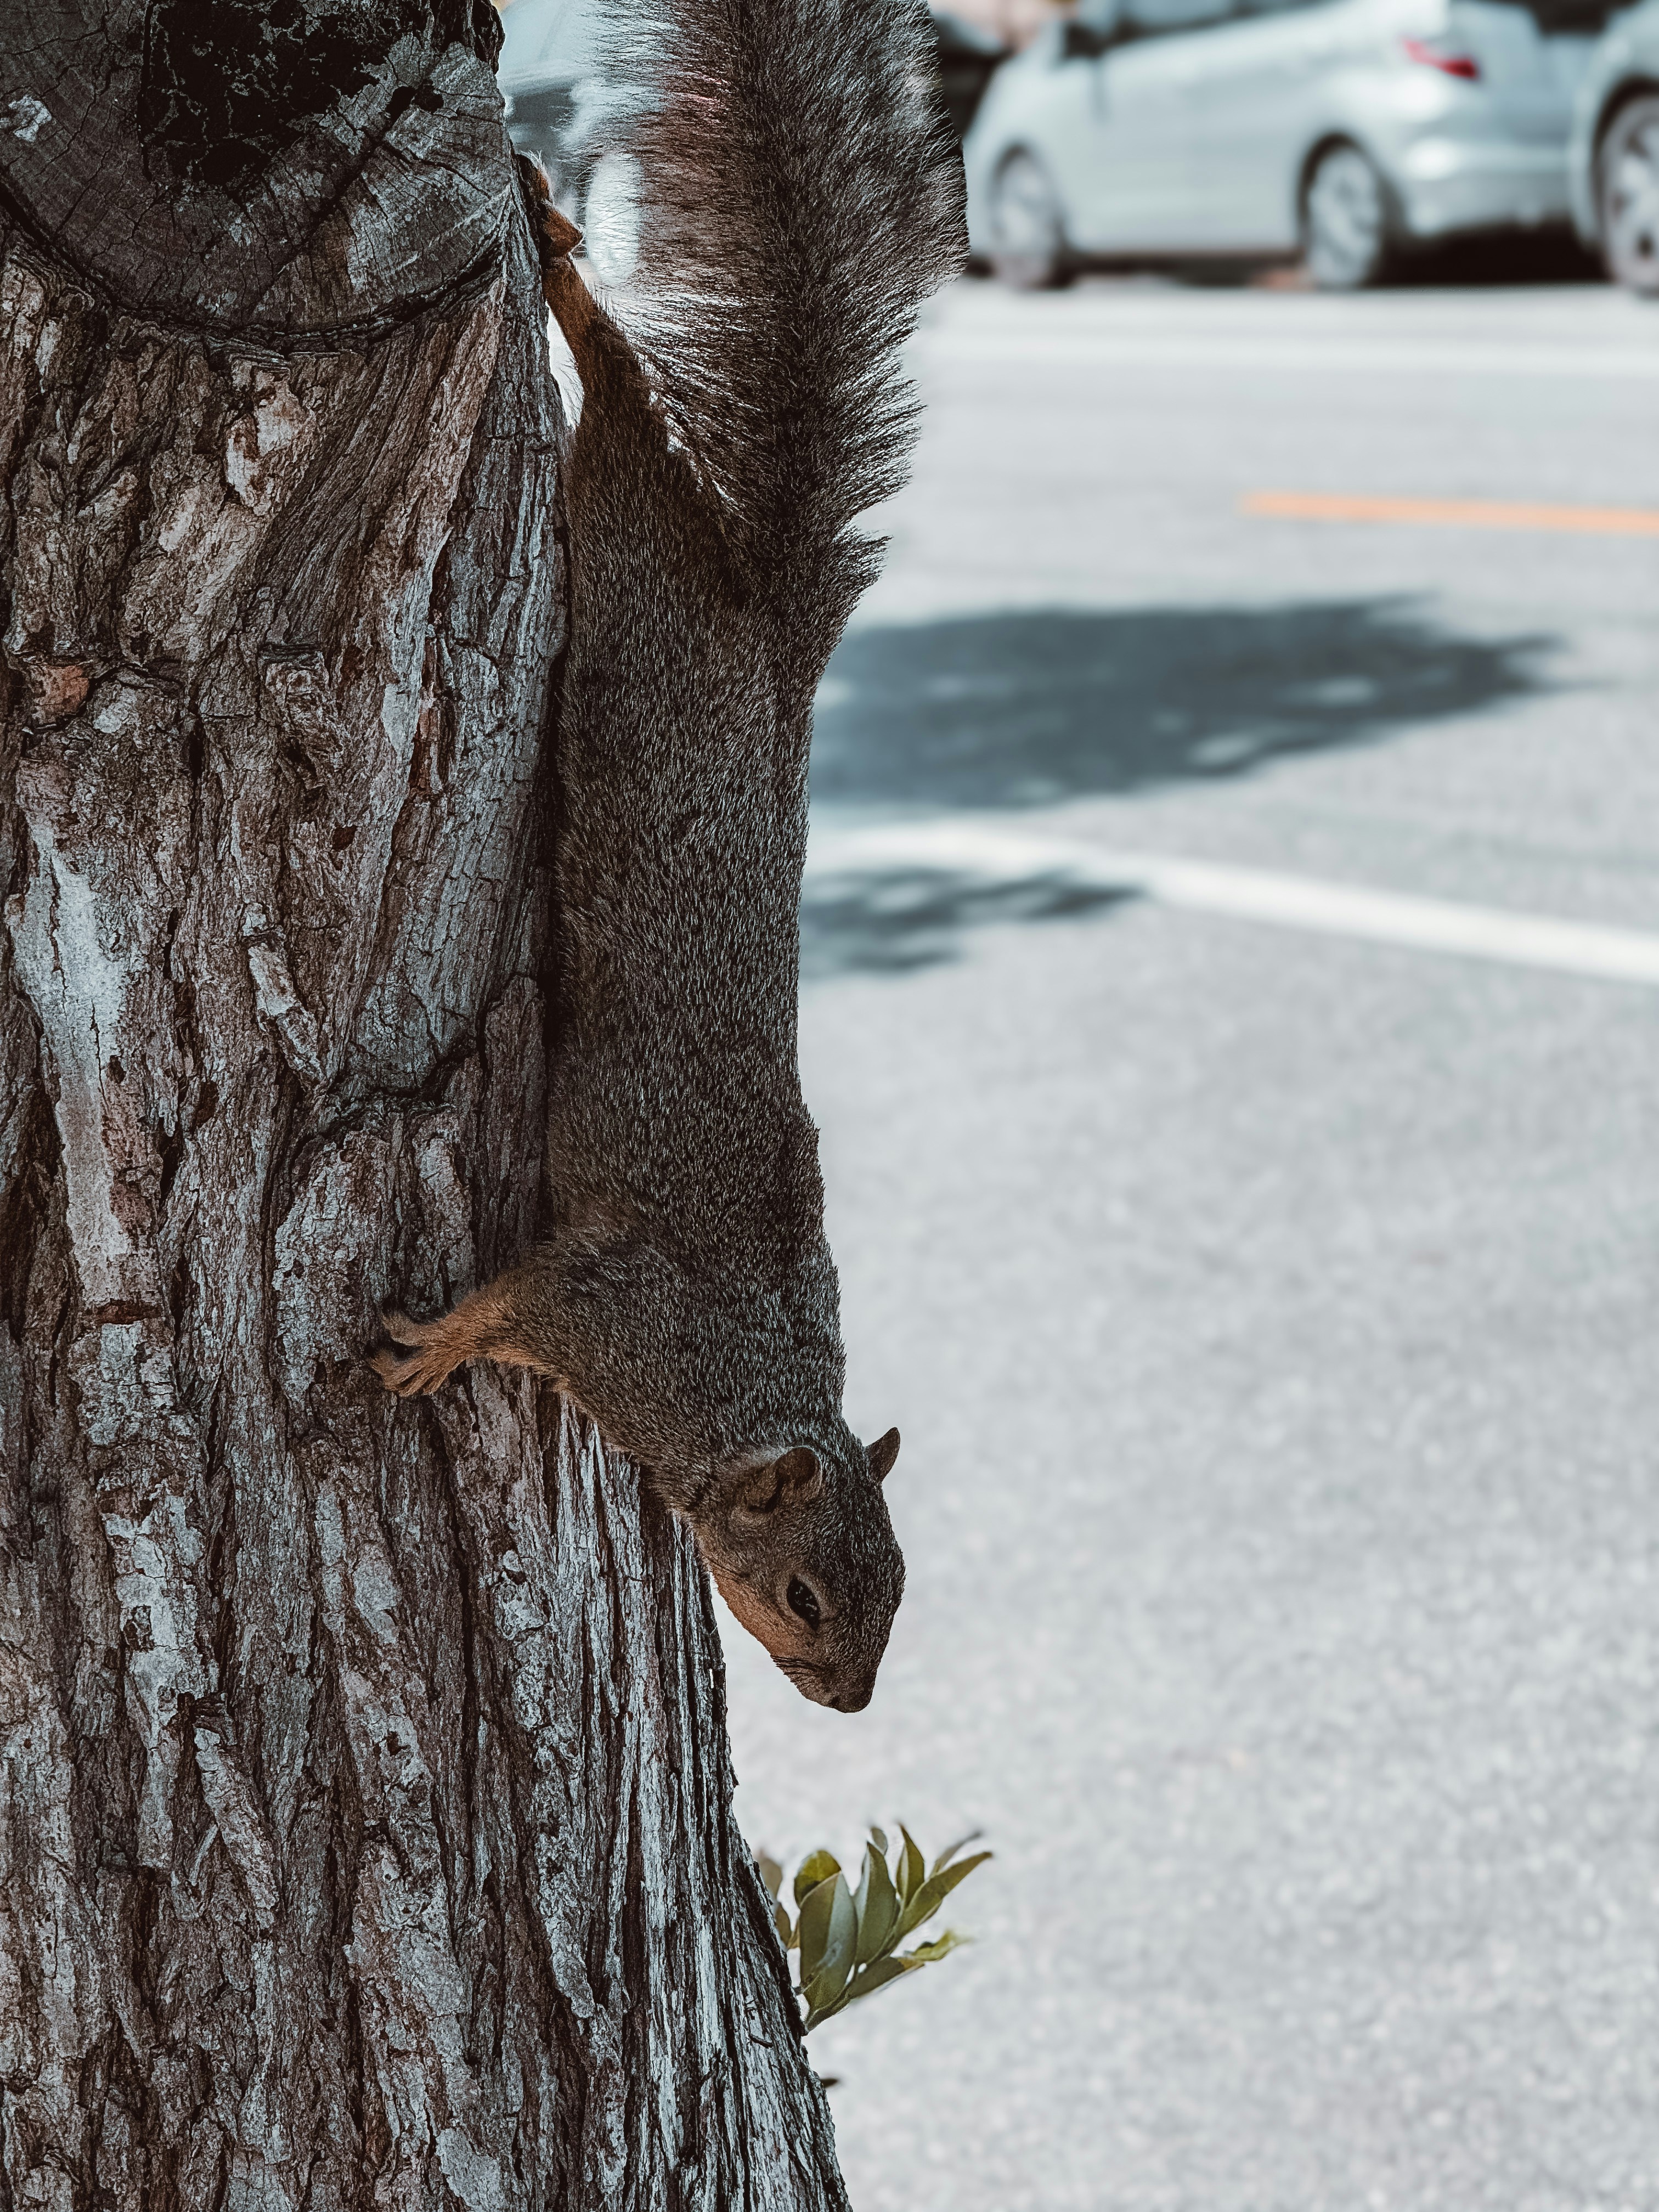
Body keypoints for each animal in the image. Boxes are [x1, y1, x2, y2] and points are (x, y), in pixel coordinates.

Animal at [372, 0, 965, 1712]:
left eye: (900, 1597)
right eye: (808, 1594)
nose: (849, 1700)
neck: (739, 1390)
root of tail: (768, 638)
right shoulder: (613, 1314)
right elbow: (516, 1296)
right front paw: (438, 1347)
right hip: (636, 563)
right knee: (624, 402)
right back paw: (565, 266)